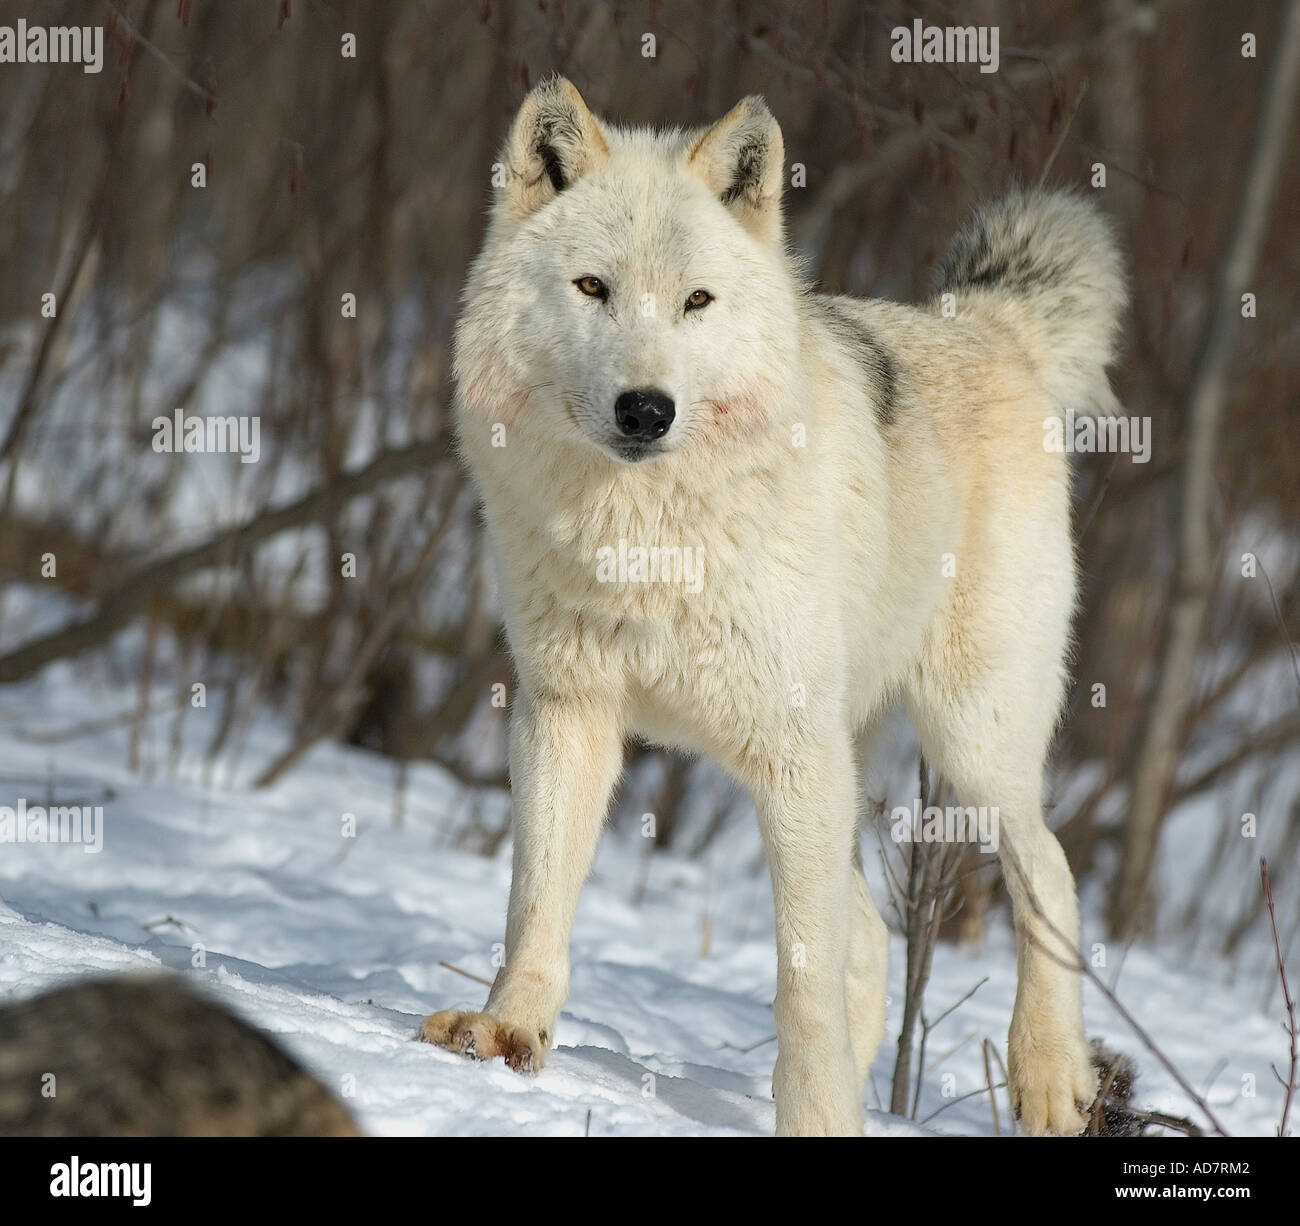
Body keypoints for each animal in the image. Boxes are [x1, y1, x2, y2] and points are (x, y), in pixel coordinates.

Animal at [421, 76, 1125, 1137]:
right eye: (592, 289)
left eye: (696, 302)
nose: (645, 409)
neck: (647, 537)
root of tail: (987, 327)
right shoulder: (567, 715)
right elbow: (536, 901)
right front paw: (508, 1035)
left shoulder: (794, 758)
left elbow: (802, 981)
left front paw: (821, 1120)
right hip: (857, 761)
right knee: (874, 937)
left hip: (969, 743)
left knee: (1050, 868)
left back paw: (1049, 1077)